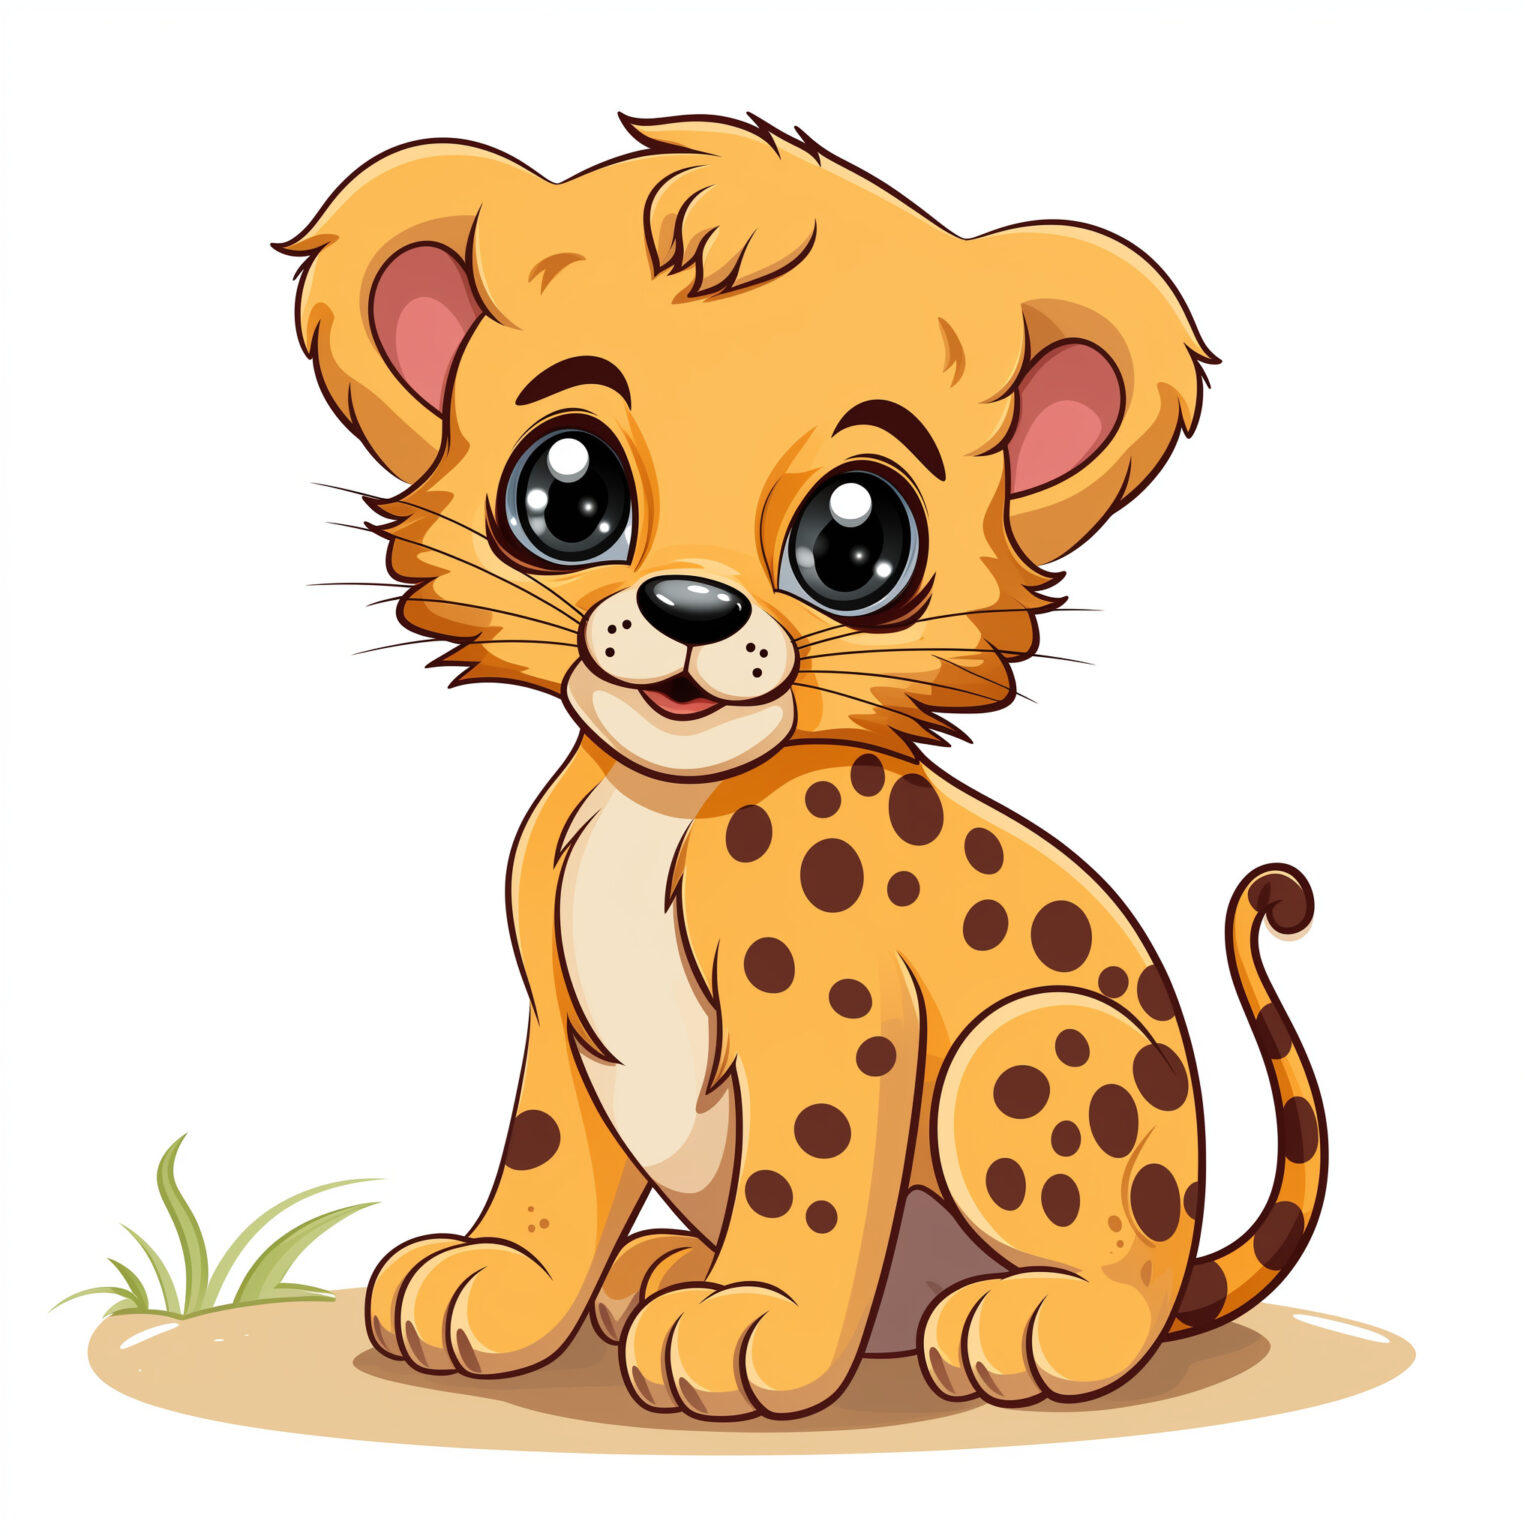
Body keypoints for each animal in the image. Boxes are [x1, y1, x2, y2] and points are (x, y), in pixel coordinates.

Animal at [277, 114, 1326, 1419]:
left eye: (856, 540)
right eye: (568, 492)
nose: (691, 609)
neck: (661, 804)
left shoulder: (839, 1009)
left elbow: (806, 1177)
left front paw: (749, 1325)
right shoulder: (567, 1012)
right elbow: (547, 1155)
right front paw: (503, 1281)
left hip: (1027, 1049)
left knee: (1117, 1265)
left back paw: (1036, 1320)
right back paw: (664, 1270)